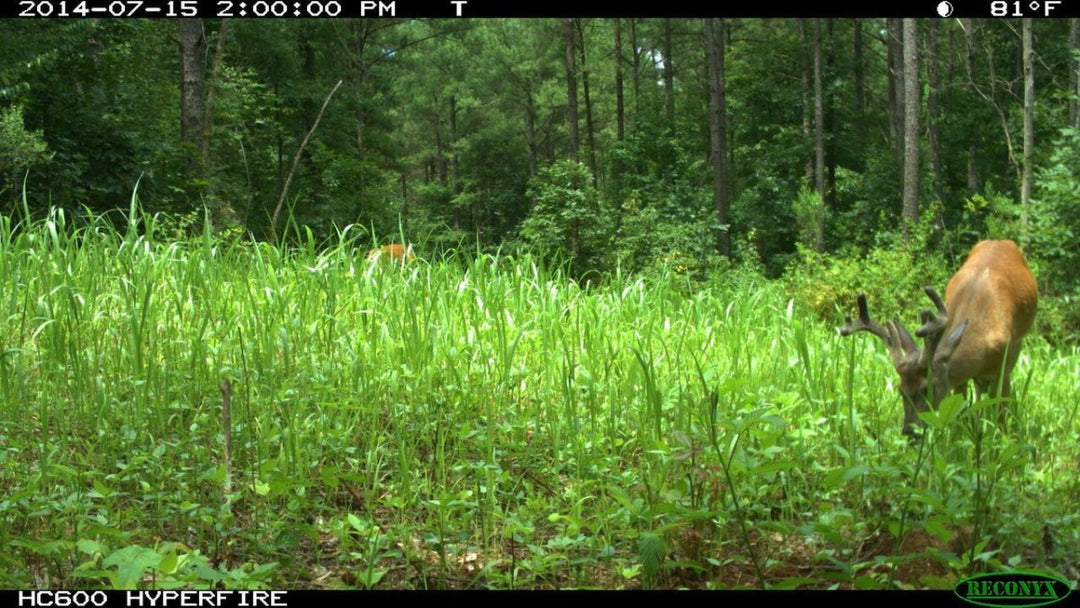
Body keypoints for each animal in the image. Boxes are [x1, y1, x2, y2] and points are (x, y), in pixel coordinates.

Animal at [840, 240, 1038, 439]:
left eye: (927, 388)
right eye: (900, 389)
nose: (910, 431)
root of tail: (998, 240)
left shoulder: (1004, 368)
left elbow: (1002, 418)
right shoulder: (958, 378)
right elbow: (960, 416)